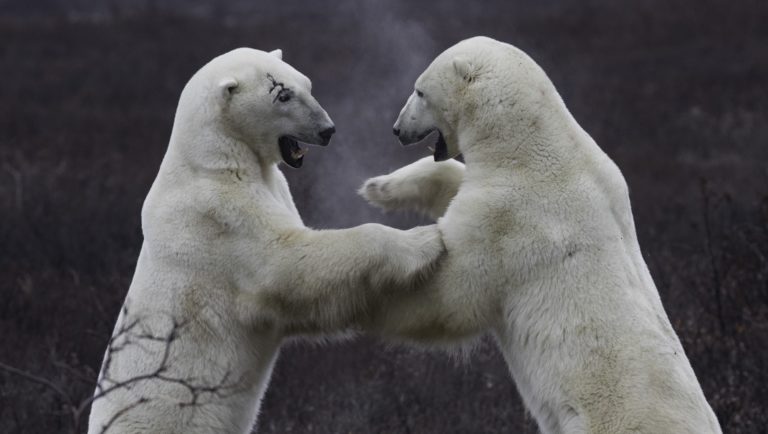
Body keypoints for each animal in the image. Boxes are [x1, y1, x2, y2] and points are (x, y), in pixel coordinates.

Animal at [86, 47, 444, 434]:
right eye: (283, 95)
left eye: (307, 83)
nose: (327, 130)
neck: (210, 159)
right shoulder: (221, 215)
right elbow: (287, 267)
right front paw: (425, 239)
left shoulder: (272, 190)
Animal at [359, 36, 722, 434]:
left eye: (420, 92)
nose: (396, 129)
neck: (530, 145)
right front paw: (380, 187)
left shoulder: (511, 218)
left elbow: (453, 298)